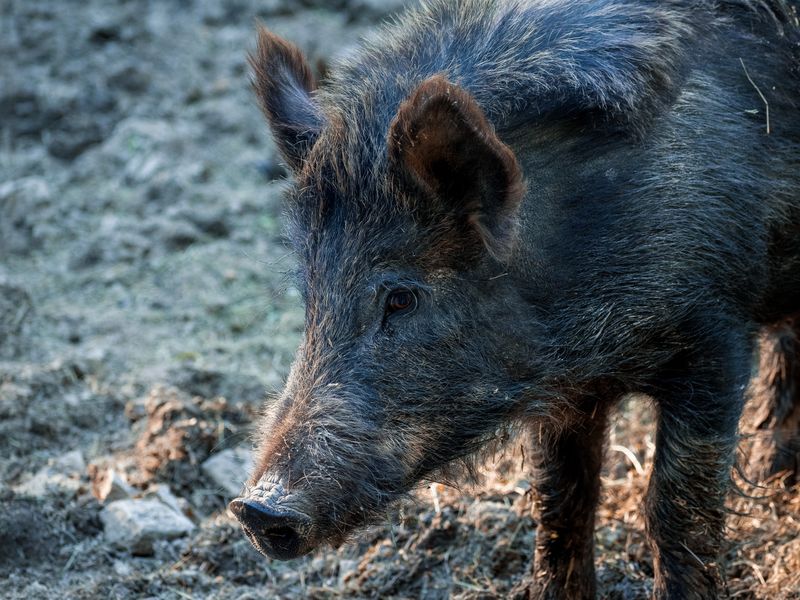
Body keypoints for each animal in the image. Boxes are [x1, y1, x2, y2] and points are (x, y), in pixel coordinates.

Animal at [229, 0, 800, 598]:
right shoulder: (566, 390)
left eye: (402, 298)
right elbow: (559, 497)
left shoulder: (717, 335)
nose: (255, 510)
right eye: (310, 295)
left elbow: (676, 507)